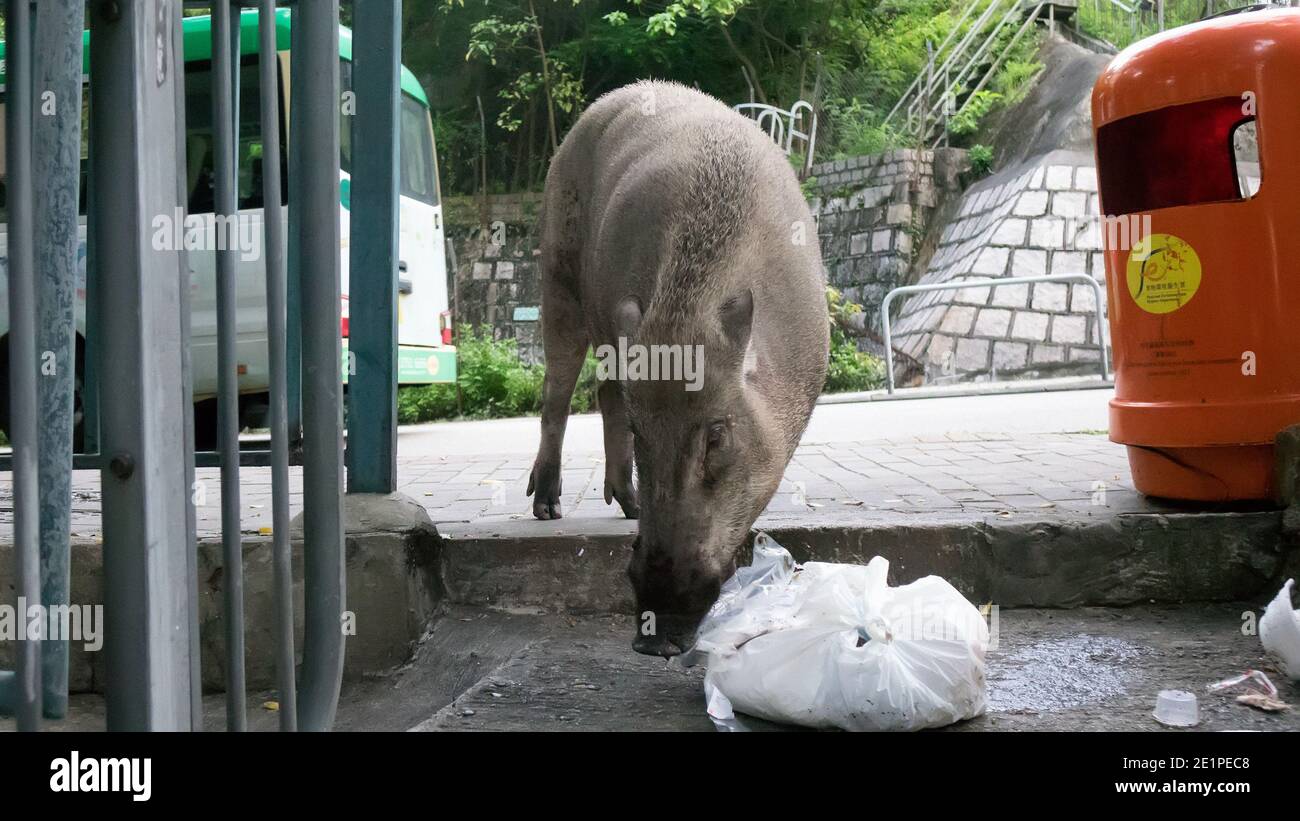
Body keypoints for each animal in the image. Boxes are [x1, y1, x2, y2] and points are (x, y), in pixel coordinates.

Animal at [527, 81, 829, 656]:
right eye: (644, 434)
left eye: (716, 436)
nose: (655, 636)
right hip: (556, 275)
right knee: (557, 393)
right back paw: (547, 509)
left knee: (603, 391)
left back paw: (626, 505)